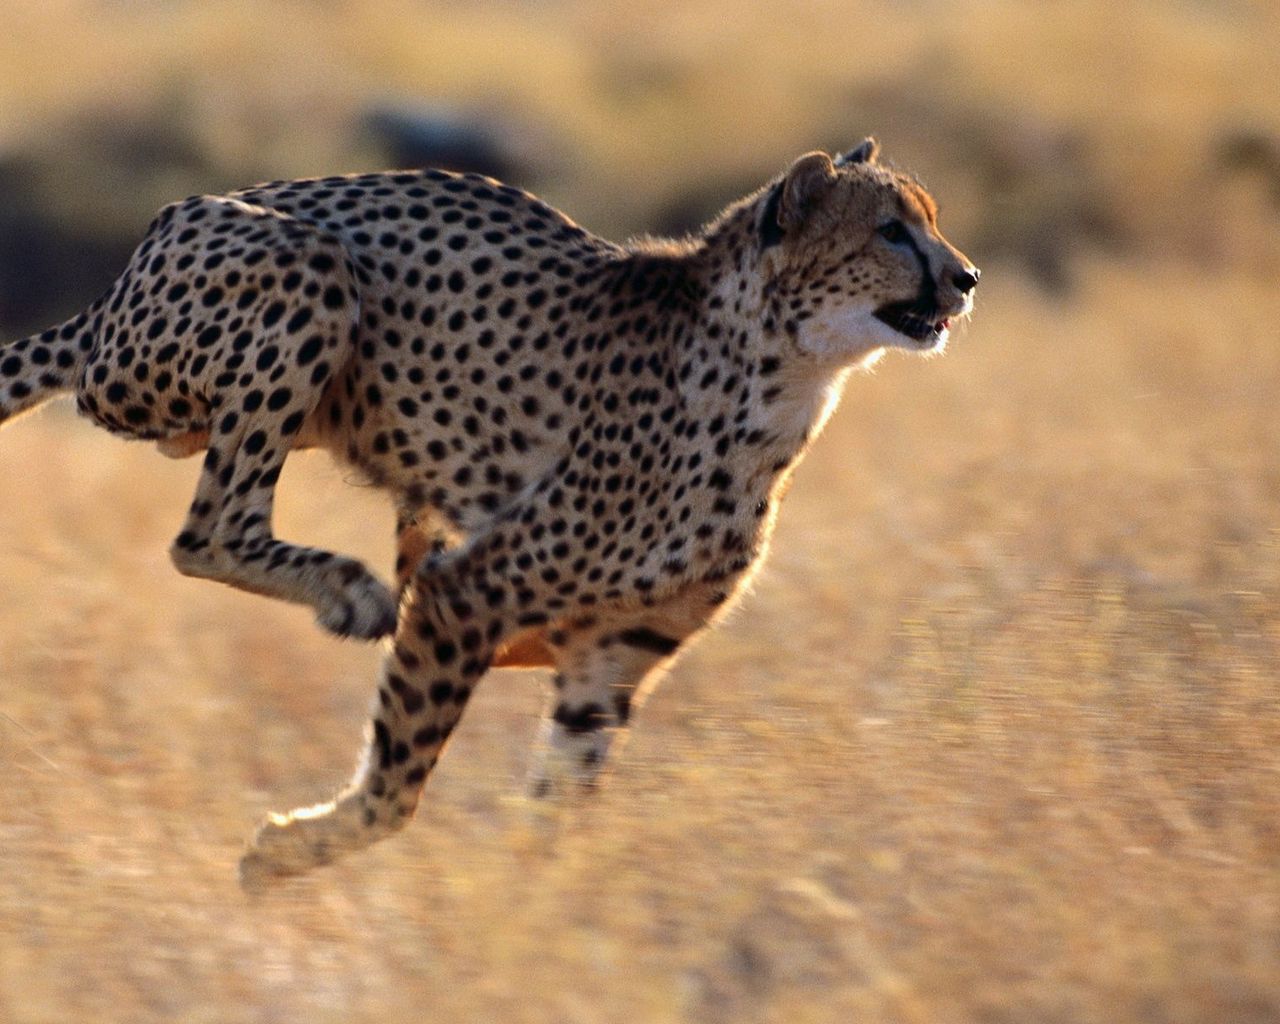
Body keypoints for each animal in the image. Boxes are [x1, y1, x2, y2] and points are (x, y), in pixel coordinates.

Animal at [0, 138, 978, 887]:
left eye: (928, 219)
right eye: (892, 231)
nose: (966, 277)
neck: (785, 379)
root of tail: (113, 291)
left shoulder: (613, 656)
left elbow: (560, 802)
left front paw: (538, 904)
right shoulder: (465, 592)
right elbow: (397, 788)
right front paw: (285, 851)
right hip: (301, 272)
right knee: (207, 530)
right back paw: (349, 592)